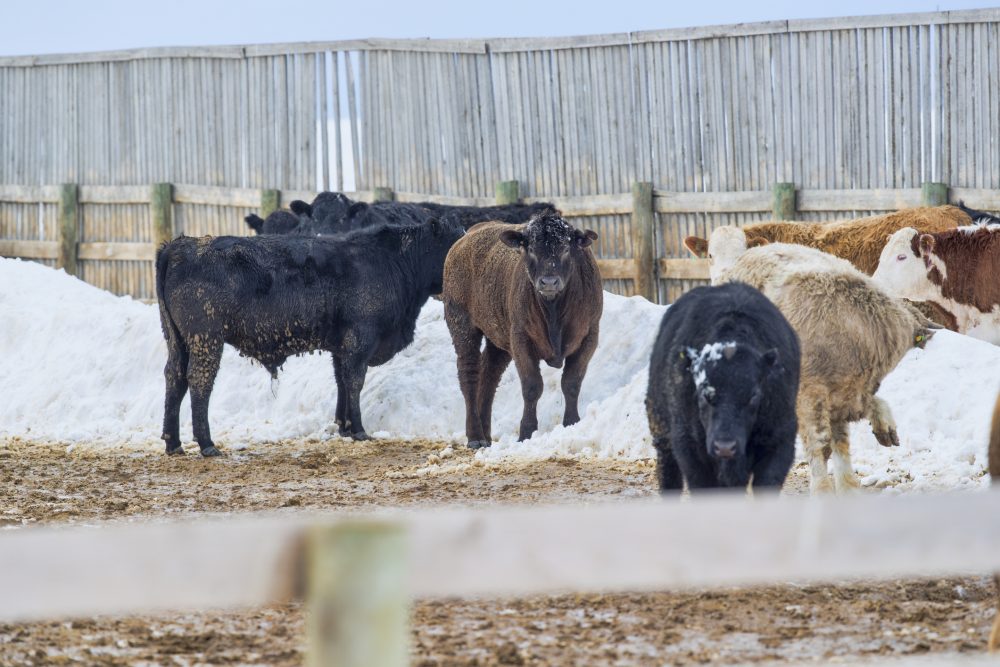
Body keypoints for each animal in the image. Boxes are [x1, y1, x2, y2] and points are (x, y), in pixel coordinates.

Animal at [155, 218, 464, 456]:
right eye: (452, 244)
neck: (395, 261)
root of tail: (180, 244)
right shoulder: (359, 341)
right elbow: (354, 383)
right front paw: (359, 430)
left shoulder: (341, 346)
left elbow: (341, 381)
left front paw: (343, 427)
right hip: (205, 339)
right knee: (199, 381)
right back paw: (207, 444)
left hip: (177, 341)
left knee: (175, 377)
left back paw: (173, 443)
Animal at [442, 213, 603, 448]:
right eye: (531, 249)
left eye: (566, 248)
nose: (548, 281)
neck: (554, 309)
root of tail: (465, 238)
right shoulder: (521, 341)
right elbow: (532, 387)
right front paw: (526, 432)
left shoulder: (589, 337)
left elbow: (571, 382)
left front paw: (571, 424)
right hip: (462, 326)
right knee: (469, 374)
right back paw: (475, 437)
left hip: (499, 339)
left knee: (489, 374)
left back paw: (486, 434)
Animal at [645, 282, 801, 492]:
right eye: (705, 394)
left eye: (753, 396)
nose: (725, 447)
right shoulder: (690, 450)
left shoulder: (779, 442)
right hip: (662, 436)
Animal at [716, 242, 935, 493]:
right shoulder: (810, 396)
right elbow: (822, 445)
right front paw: (822, 489)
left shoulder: (845, 398)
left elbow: (841, 442)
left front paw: (848, 485)